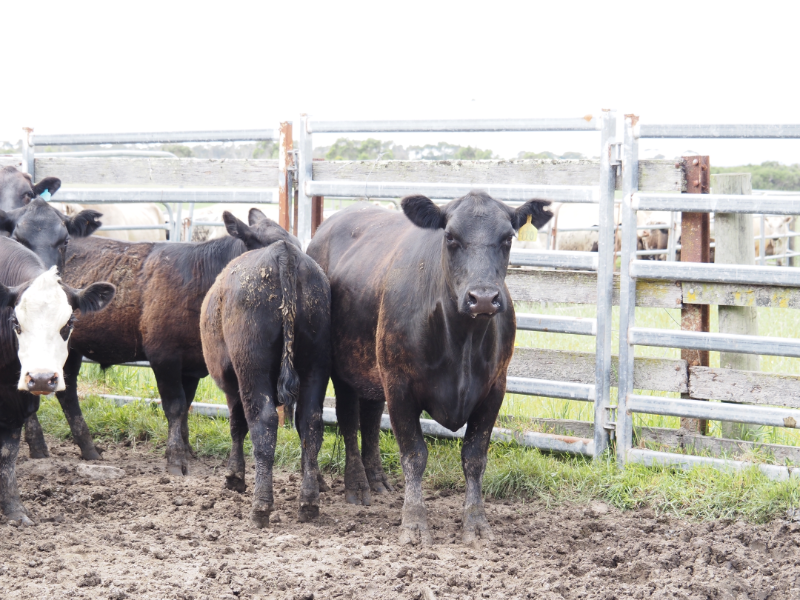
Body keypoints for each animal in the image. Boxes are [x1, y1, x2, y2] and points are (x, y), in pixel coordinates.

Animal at [0, 236, 115, 524]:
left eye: (69, 323)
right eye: (15, 322)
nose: (41, 379)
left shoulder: (14, 405)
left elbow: (7, 456)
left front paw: (15, 510)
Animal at [21, 209, 296, 473]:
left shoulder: (193, 365)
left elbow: (186, 405)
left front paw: (186, 450)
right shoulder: (165, 357)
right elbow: (175, 406)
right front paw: (175, 458)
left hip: (71, 348)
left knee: (67, 392)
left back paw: (88, 448)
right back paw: (38, 446)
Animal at [201, 216, 331, 526]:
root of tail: (283, 253)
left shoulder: (232, 382)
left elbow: (237, 424)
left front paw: (234, 476)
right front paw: (318, 479)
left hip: (251, 366)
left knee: (263, 422)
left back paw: (261, 505)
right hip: (316, 363)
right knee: (311, 421)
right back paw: (309, 502)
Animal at [307, 191, 553, 546]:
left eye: (508, 238)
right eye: (450, 237)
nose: (482, 298)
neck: (462, 342)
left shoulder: (495, 388)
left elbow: (474, 457)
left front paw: (476, 523)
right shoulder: (399, 385)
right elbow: (414, 455)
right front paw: (414, 522)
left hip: (374, 370)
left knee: (370, 419)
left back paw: (377, 479)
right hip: (339, 367)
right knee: (349, 420)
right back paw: (357, 485)